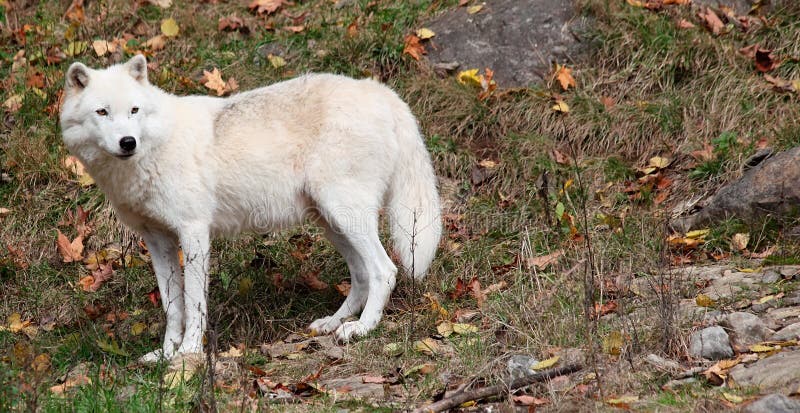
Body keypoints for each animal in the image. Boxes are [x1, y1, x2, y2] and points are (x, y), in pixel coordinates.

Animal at [59, 55, 441, 362]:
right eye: (102, 112)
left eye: (134, 111)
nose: (128, 142)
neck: (152, 151)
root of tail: (380, 91)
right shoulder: (157, 240)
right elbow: (172, 306)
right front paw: (166, 354)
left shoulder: (194, 232)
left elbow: (194, 301)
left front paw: (188, 353)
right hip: (332, 222)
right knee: (361, 275)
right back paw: (333, 323)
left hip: (345, 215)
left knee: (384, 270)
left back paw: (362, 329)